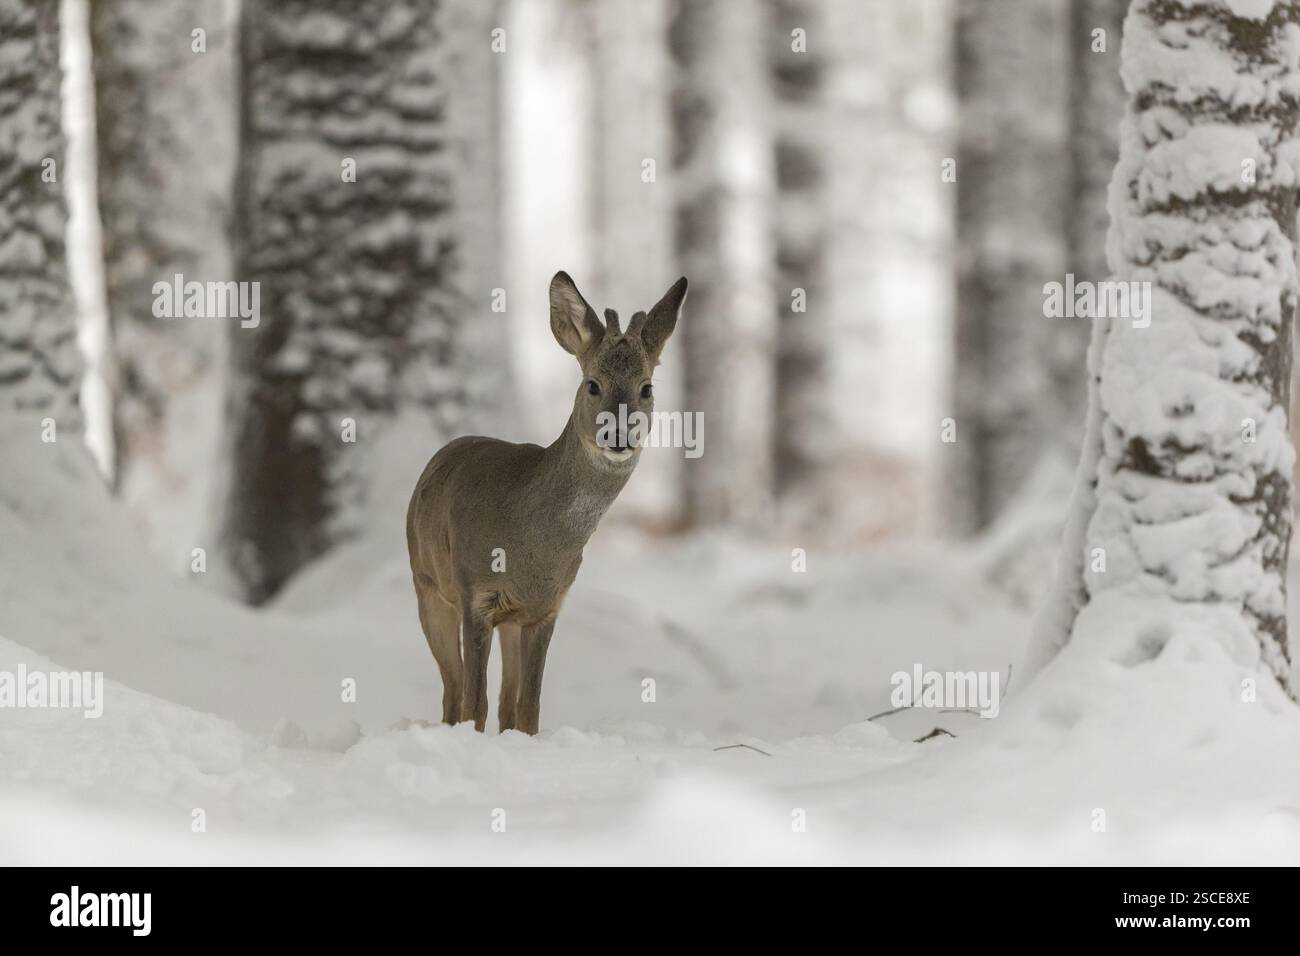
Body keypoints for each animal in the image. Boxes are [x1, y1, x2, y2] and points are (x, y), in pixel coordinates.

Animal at [406, 271, 688, 734]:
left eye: (646, 388)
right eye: (593, 384)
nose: (619, 435)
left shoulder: (546, 608)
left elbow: (528, 708)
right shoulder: (474, 594)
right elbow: (474, 703)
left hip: (508, 621)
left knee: (502, 702)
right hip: (428, 584)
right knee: (452, 694)